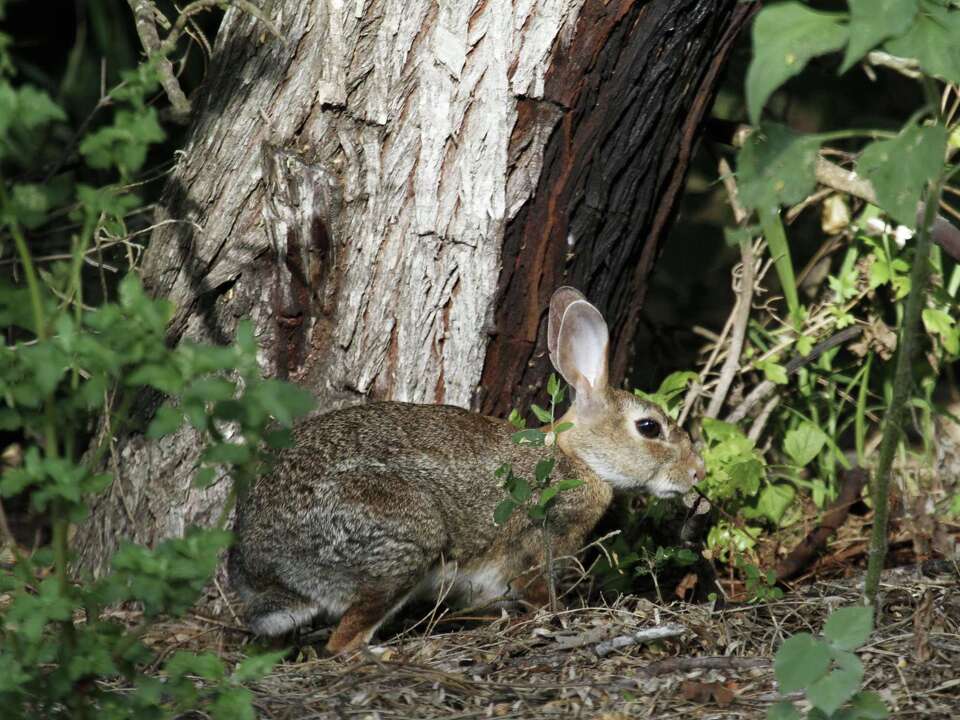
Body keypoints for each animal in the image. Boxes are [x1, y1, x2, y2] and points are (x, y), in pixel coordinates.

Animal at [228, 286, 705, 654]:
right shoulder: (540, 541)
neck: (577, 458)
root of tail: (265, 568)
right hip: (404, 541)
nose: (696, 472)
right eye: (649, 428)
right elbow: (536, 591)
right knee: (342, 641)